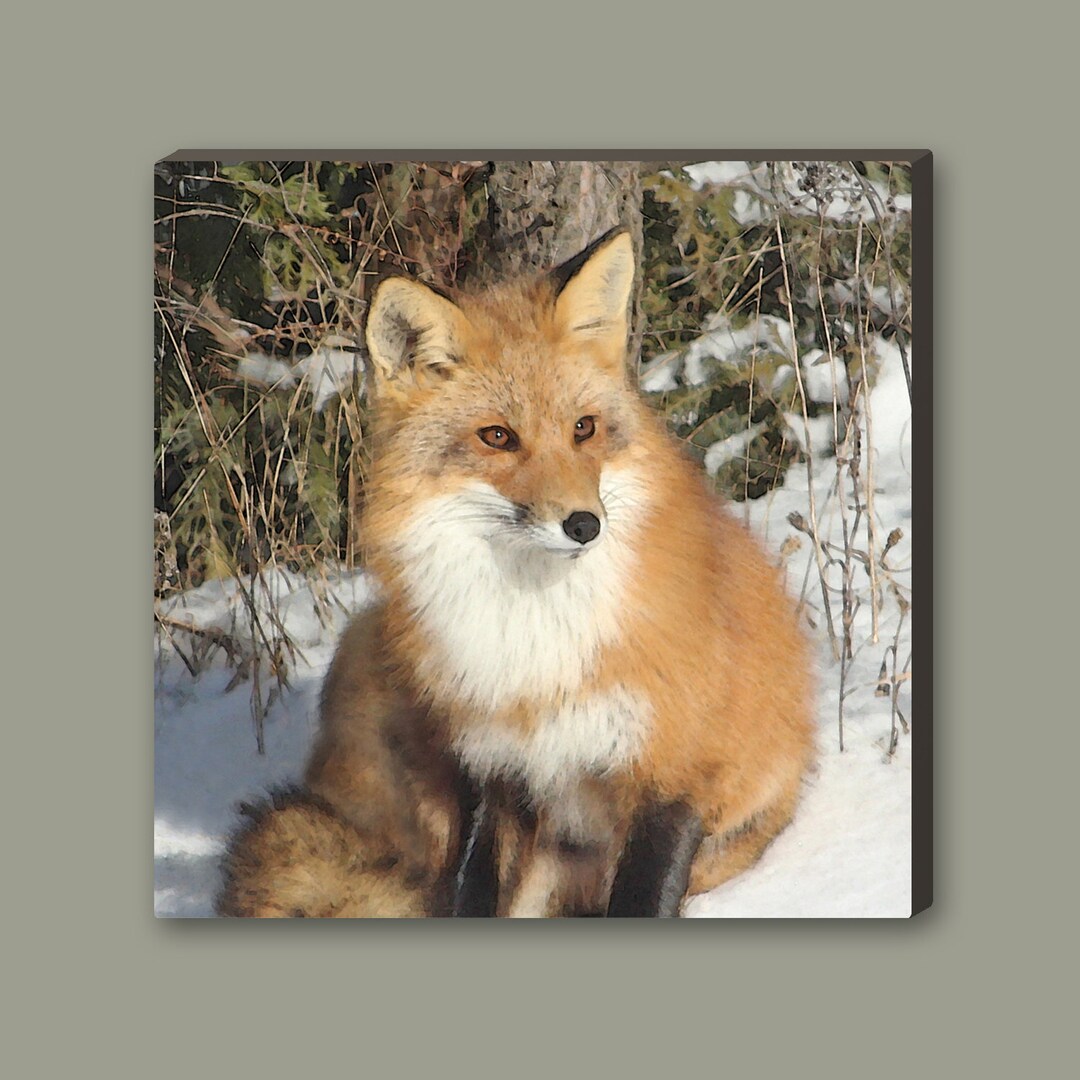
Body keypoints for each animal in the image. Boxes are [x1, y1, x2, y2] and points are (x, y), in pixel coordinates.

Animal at [217, 227, 815, 918]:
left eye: (584, 428)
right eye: (497, 437)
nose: (584, 525)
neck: (538, 643)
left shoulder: (673, 773)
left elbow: (644, 894)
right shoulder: (497, 773)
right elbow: (473, 888)